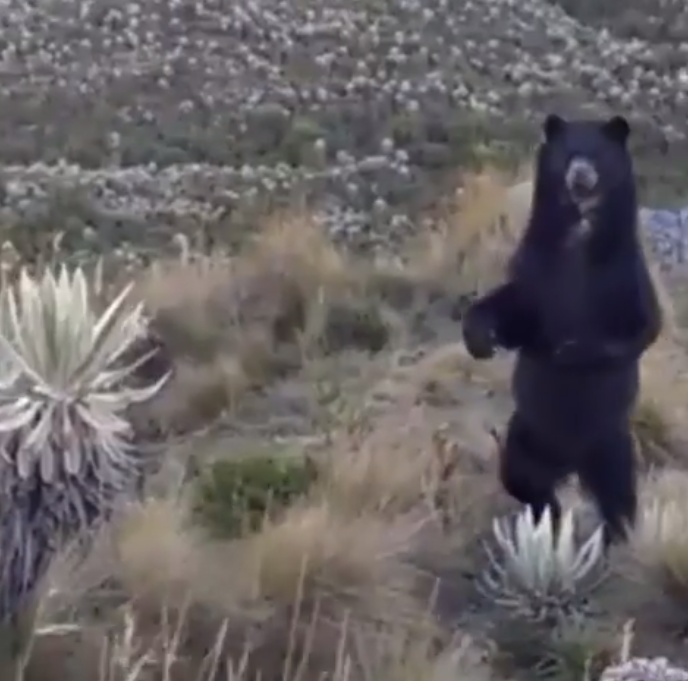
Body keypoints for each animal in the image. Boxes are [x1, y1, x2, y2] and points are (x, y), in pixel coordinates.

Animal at [462, 113, 662, 546]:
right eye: (568, 153)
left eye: (598, 153)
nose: (580, 175)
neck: (579, 238)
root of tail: (570, 466)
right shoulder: (537, 264)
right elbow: (517, 309)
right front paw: (480, 337)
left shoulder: (623, 273)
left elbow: (641, 327)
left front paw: (574, 350)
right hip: (527, 433)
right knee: (520, 477)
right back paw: (549, 516)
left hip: (611, 443)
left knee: (618, 494)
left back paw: (617, 536)